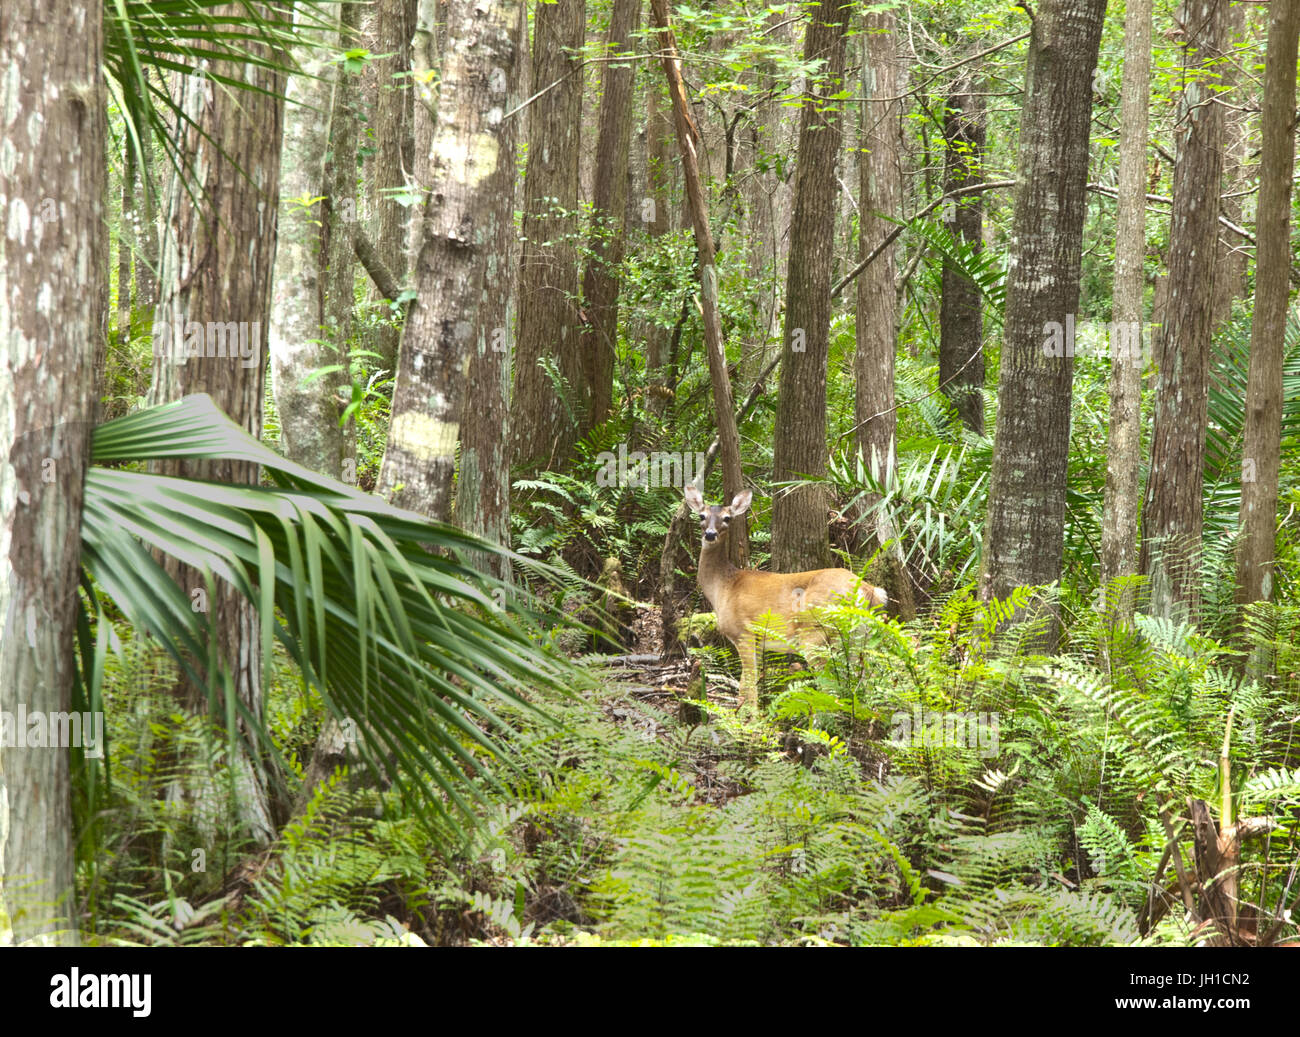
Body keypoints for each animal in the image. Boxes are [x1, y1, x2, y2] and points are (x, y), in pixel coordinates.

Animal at [683, 484, 887, 711]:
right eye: (702, 515)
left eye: (727, 518)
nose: (710, 534)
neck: (724, 587)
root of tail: (867, 589)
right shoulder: (757, 641)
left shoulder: (744, 632)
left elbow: (747, 686)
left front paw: (749, 717)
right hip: (860, 634)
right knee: (866, 678)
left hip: (816, 632)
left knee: (830, 683)